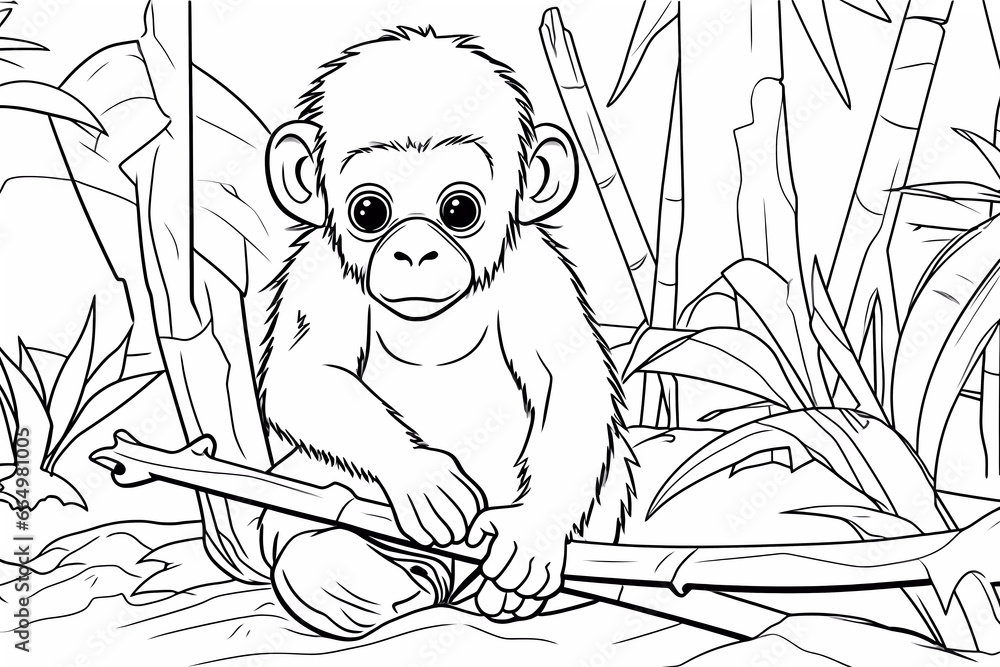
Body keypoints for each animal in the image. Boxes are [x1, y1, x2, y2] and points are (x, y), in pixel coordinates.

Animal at [256, 26, 635, 639]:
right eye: (368, 211)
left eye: (459, 209)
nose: (414, 252)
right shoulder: (318, 270)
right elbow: (306, 378)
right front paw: (422, 475)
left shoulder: (537, 272)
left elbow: (569, 384)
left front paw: (532, 531)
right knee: (313, 546)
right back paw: (384, 582)